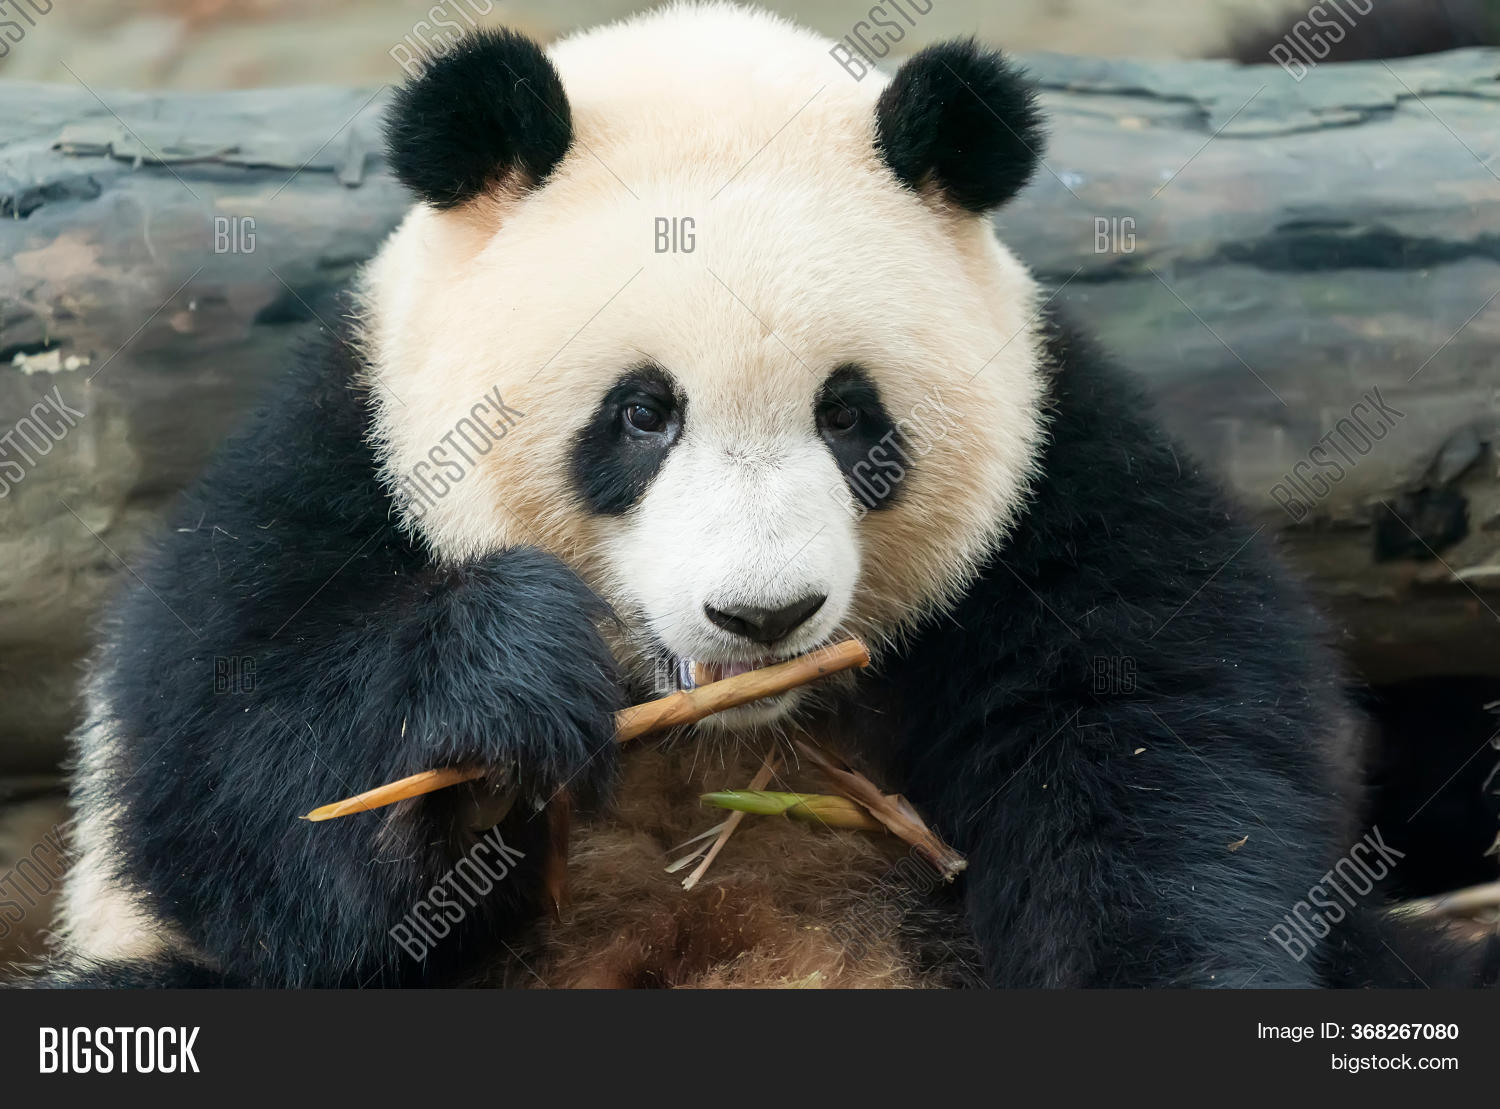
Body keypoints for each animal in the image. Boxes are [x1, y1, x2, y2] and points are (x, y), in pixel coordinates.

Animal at [22, 2, 1492, 989]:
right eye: (642, 412)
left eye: (851, 416)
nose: (764, 615)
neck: (727, 737)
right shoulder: (338, 456)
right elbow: (236, 774)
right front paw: (504, 679)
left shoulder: (1064, 483)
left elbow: (1154, 746)